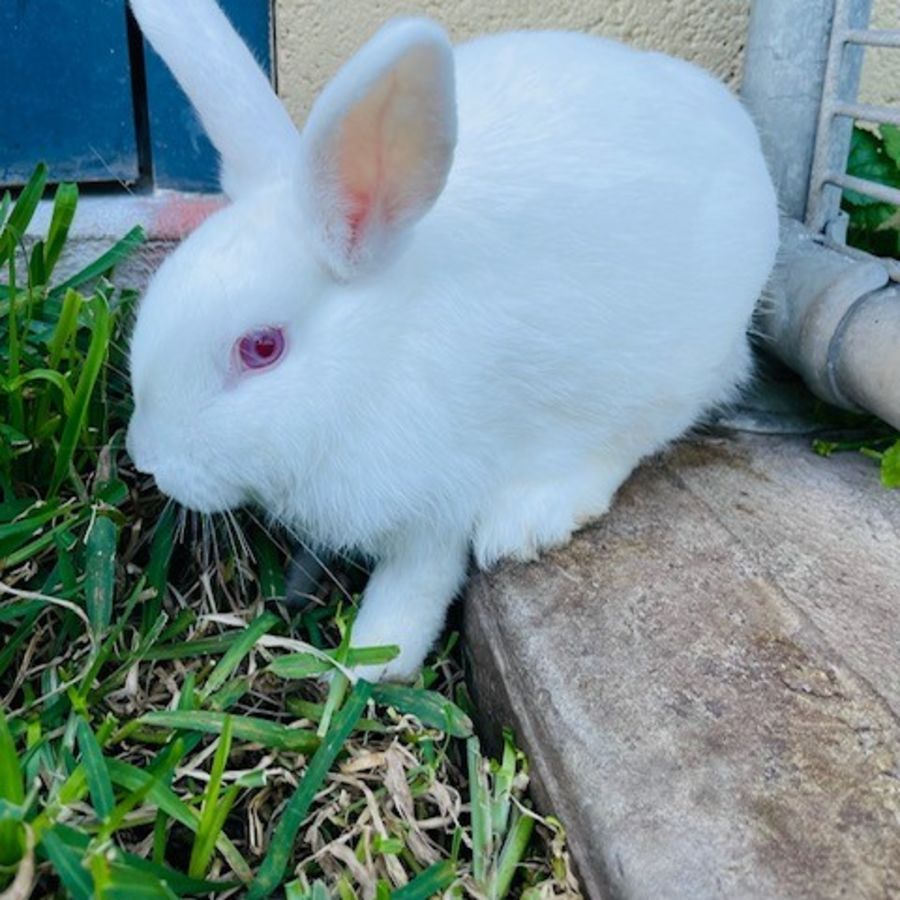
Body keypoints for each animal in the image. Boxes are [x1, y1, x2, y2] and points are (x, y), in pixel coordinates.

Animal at [126, 0, 779, 682]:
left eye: (261, 348)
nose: (149, 460)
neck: (377, 354)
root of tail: (739, 133)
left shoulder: (432, 503)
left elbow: (414, 592)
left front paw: (362, 670)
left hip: (664, 372)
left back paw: (532, 517)